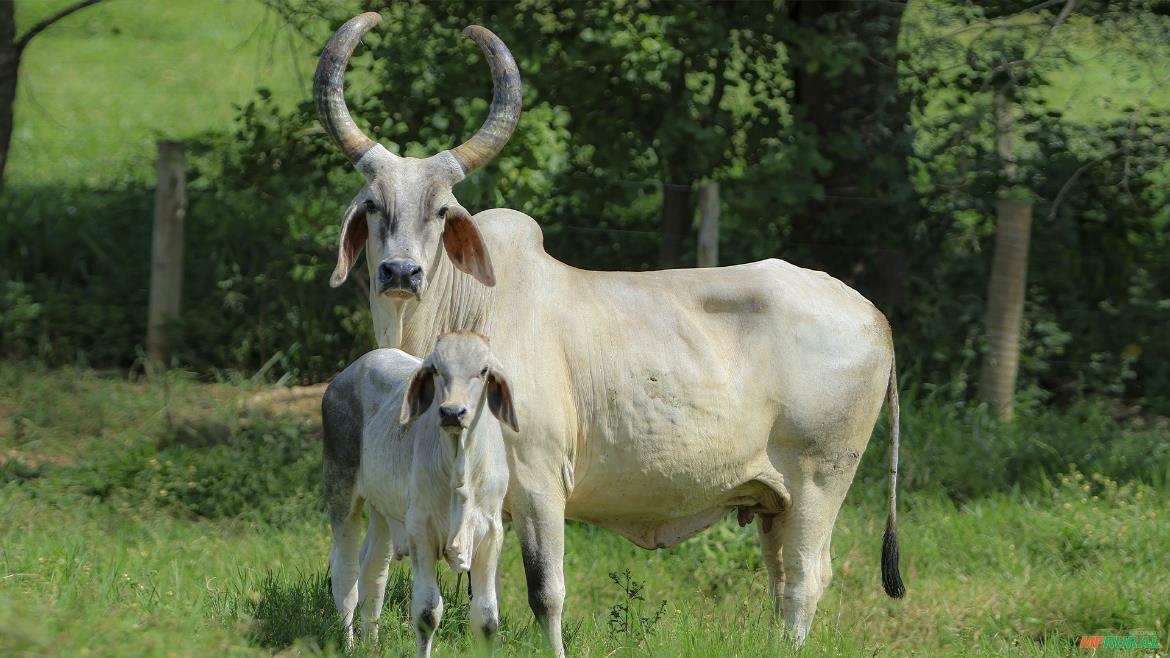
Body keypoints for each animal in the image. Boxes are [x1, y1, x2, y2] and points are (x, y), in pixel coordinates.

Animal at [322, 331, 516, 655]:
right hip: (341, 490)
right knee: (345, 573)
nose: (452, 412)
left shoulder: (490, 534)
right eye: (436, 369)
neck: (459, 465)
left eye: (483, 370)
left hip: (384, 510)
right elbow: (427, 613)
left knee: (373, 573)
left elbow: (487, 618)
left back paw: (371, 643)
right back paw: (349, 645)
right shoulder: (421, 531)